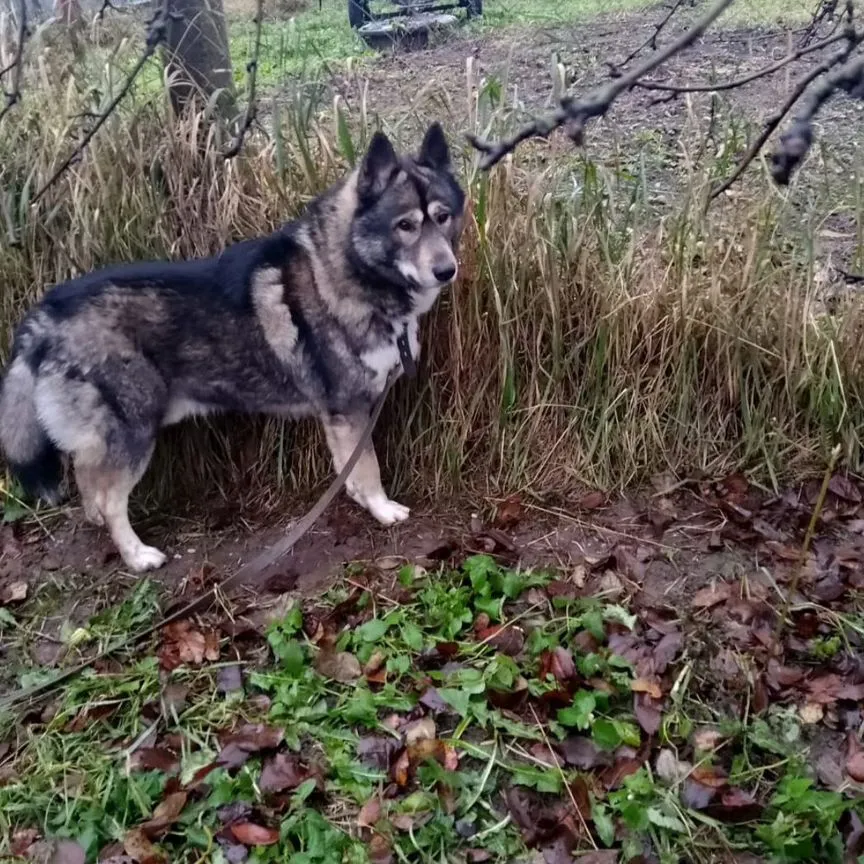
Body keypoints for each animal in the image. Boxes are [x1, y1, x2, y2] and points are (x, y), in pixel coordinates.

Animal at [0, 118, 466, 572]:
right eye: (405, 225)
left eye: (442, 217)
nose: (447, 271)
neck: (350, 271)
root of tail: (47, 313)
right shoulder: (348, 410)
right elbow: (367, 468)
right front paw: (382, 510)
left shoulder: (339, 418)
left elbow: (349, 472)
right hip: (132, 433)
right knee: (109, 499)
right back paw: (137, 555)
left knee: (89, 485)